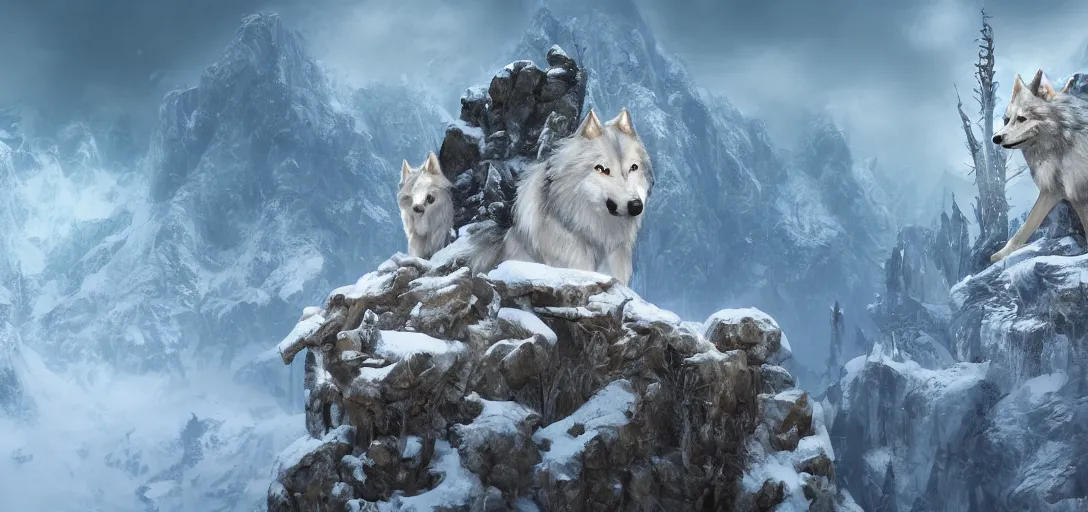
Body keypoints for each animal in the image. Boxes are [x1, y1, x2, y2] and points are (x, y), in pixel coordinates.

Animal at [990, 69, 1088, 263]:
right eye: (1006, 120)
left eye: (1022, 118)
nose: (996, 138)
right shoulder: (1058, 191)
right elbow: (1024, 228)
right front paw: (1001, 255)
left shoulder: (1077, 191)